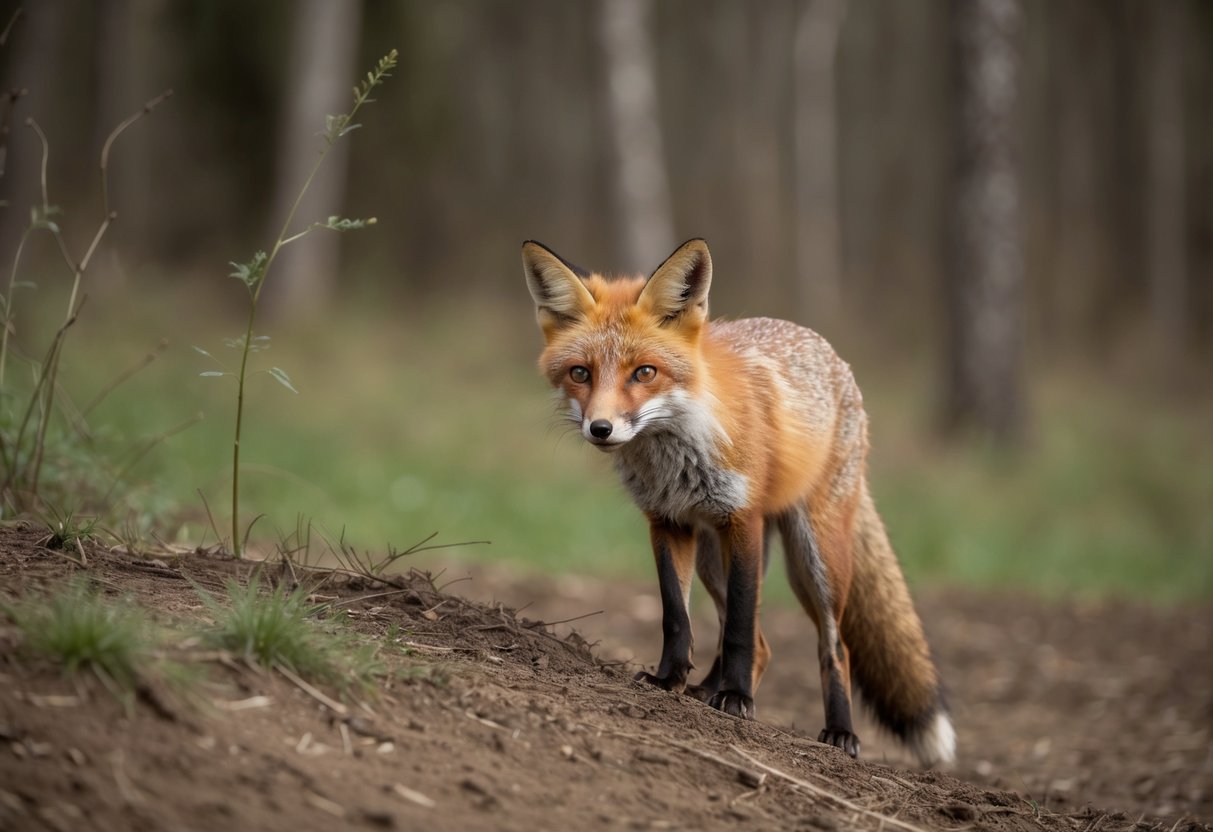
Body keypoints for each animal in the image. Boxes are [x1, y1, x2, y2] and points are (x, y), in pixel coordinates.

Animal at [522, 237, 955, 767]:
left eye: (644, 372)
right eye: (580, 373)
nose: (600, 429)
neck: (678, 453)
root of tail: (831, 353)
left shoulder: (742, 520)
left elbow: (741, 630)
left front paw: (737, 700)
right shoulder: (667, 521)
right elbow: (676, 616)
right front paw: (669, 680)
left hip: (814, 559)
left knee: (833, 647)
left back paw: (838, 731)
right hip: (714, 557)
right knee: (762, 642)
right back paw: (706, 688)